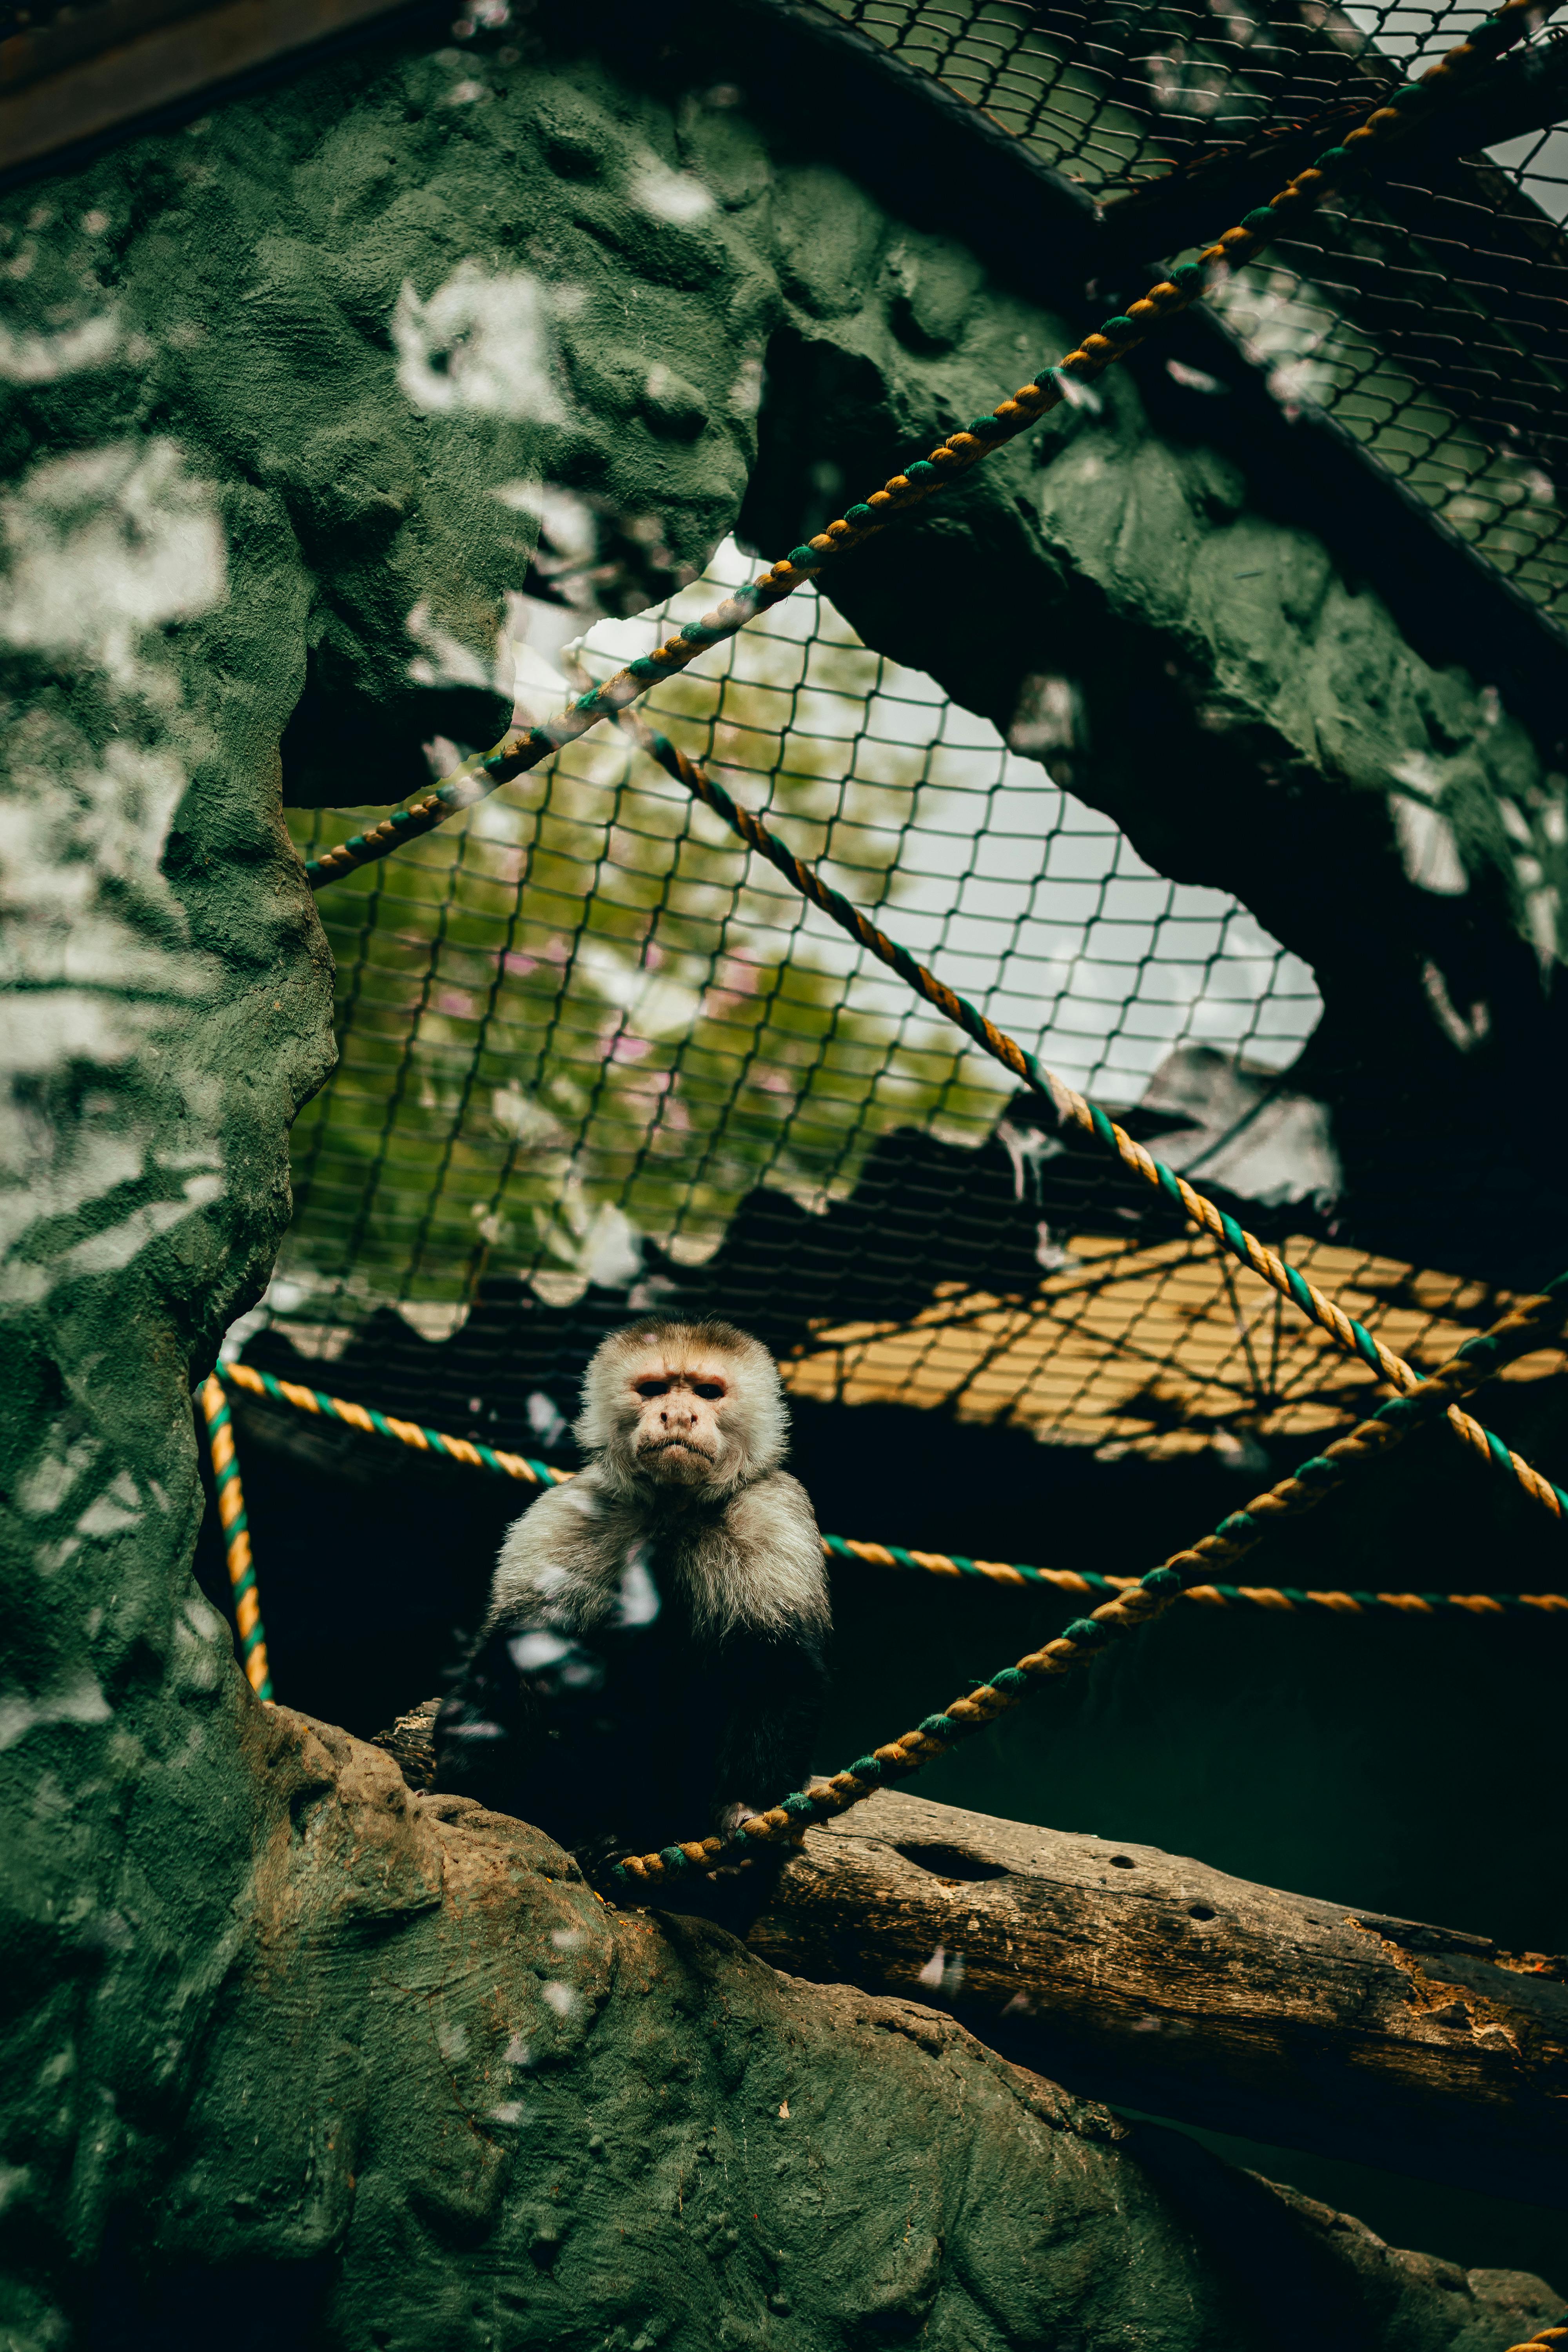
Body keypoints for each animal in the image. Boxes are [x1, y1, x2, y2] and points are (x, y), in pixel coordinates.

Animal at [431, 1316, 830, 1925]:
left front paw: (745, 1820)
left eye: (707, 1392)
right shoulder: (571, 1514)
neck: (672, 1510)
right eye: (654, 1389)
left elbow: (776, 1668)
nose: (679, 1416)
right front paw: (472, 1789)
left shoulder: (772, 1511)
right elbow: (516, 1649)